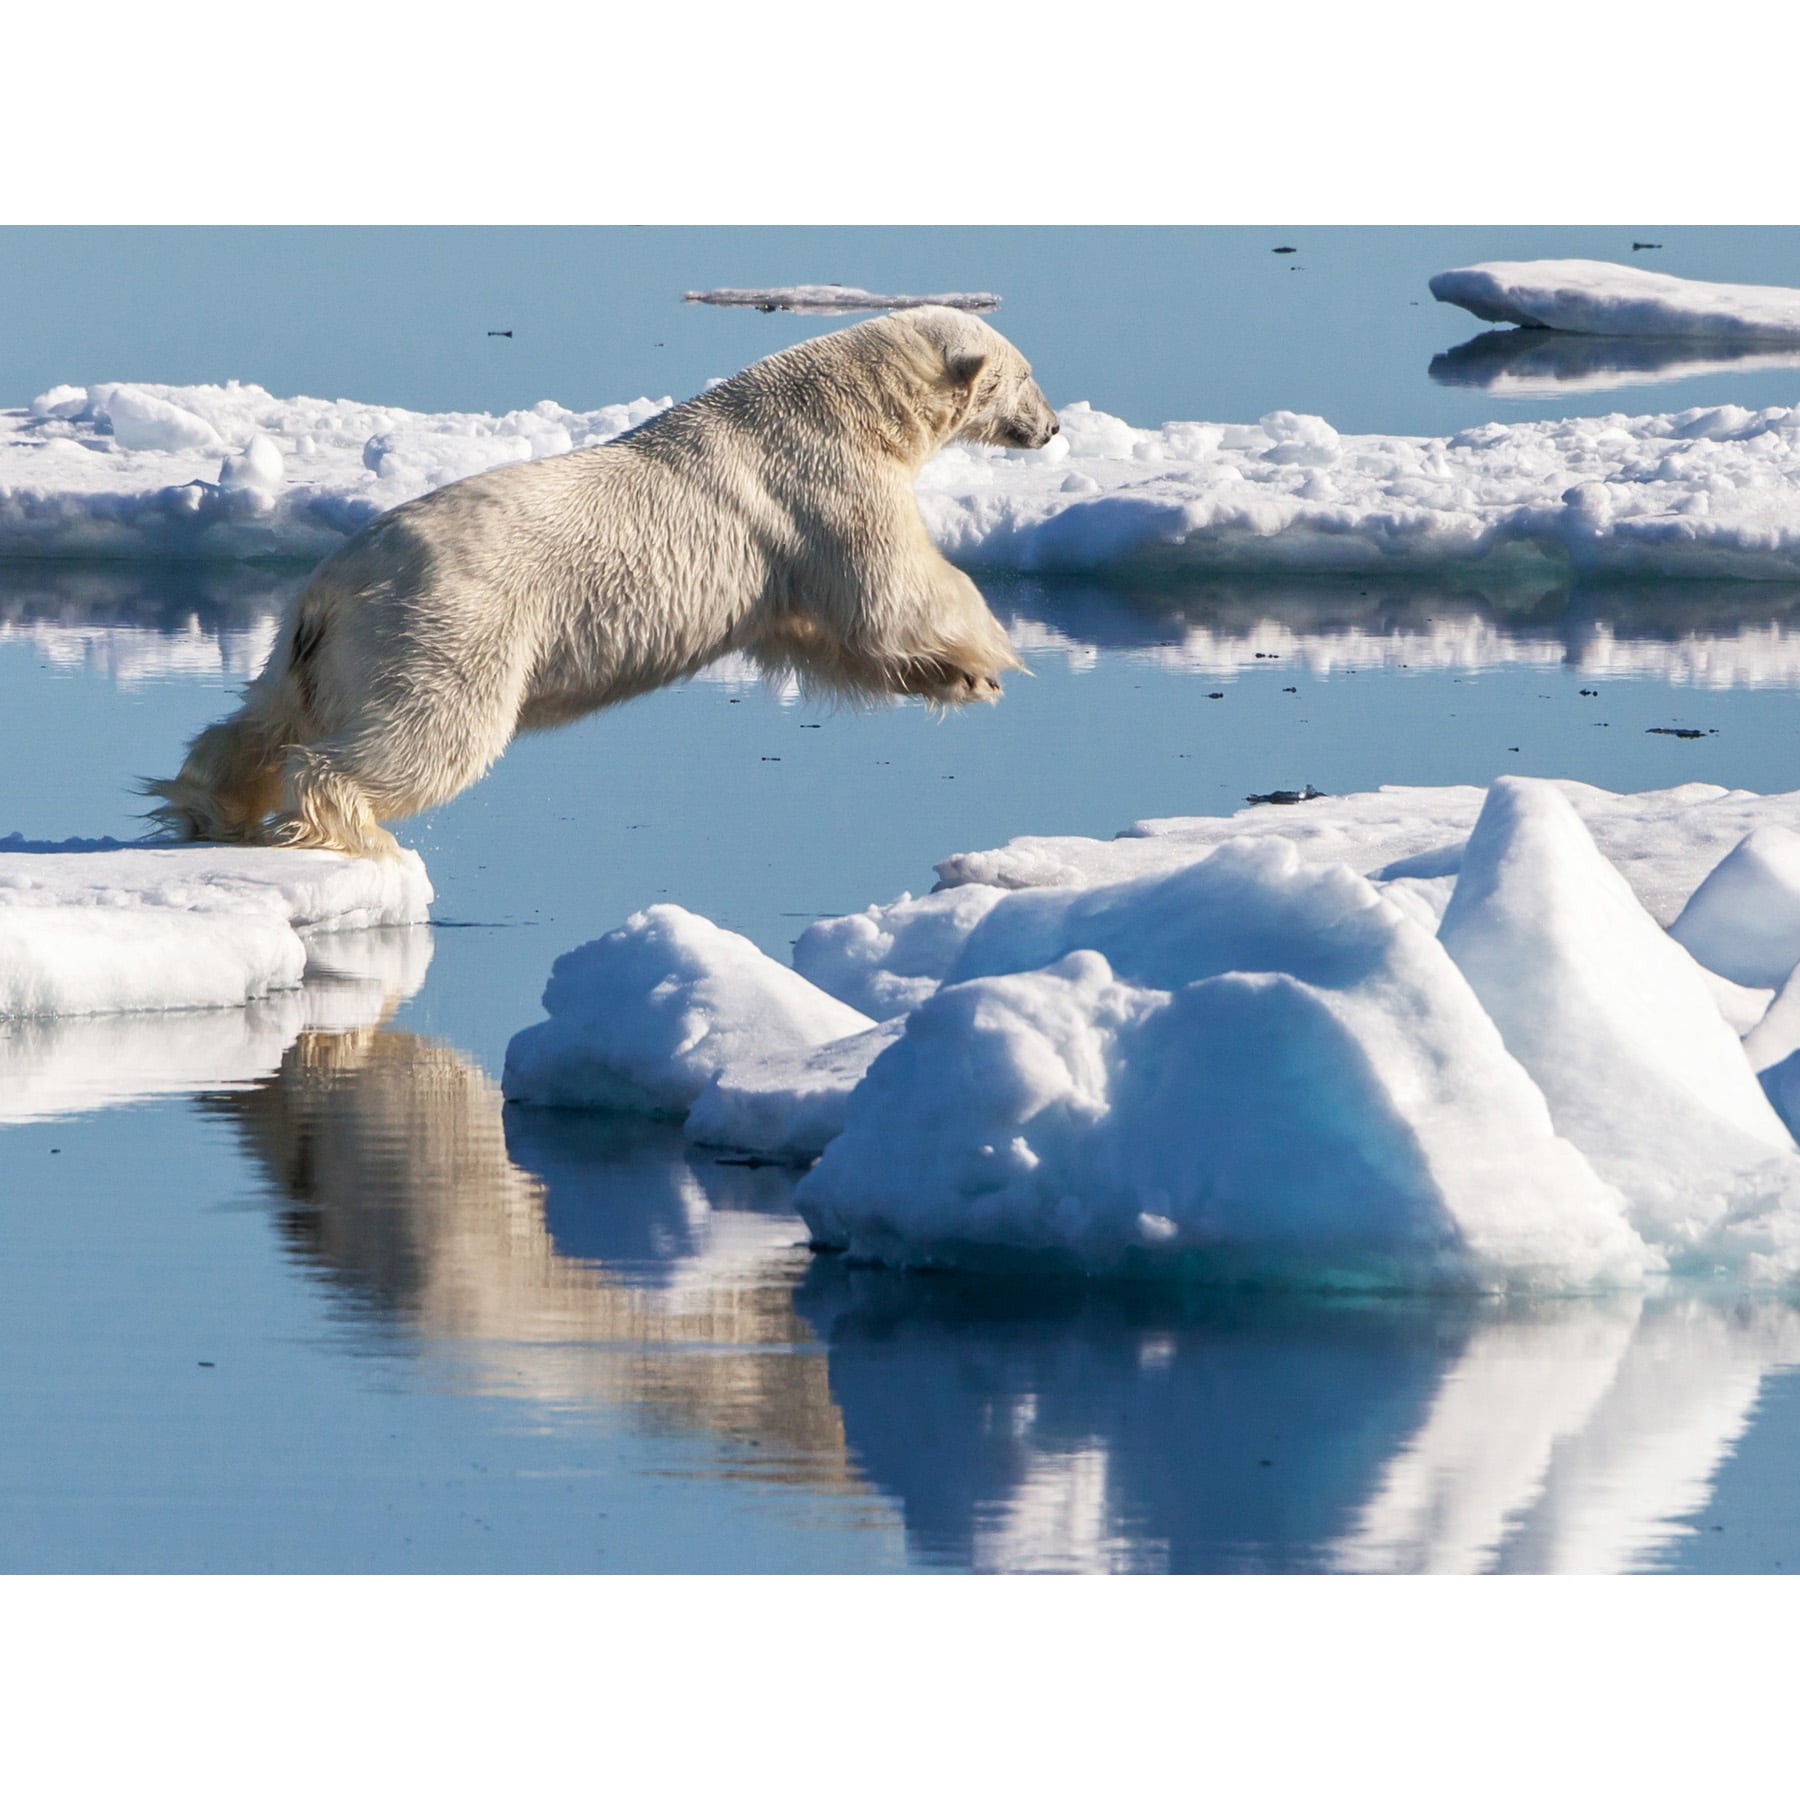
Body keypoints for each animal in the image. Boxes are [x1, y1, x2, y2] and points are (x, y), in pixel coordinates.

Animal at [145, 305, 1058, 857]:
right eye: (1027, 377)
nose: (1052, 428)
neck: (841, 403)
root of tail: (327, 589)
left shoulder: (780, 559)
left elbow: (819, 636)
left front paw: (958, 679)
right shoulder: (821, 482)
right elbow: (890, 590)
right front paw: (991, 655)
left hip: (314, 645)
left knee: (264, 717)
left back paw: (203, 804)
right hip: (443, 622)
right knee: (420, 736)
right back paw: (358, 829)